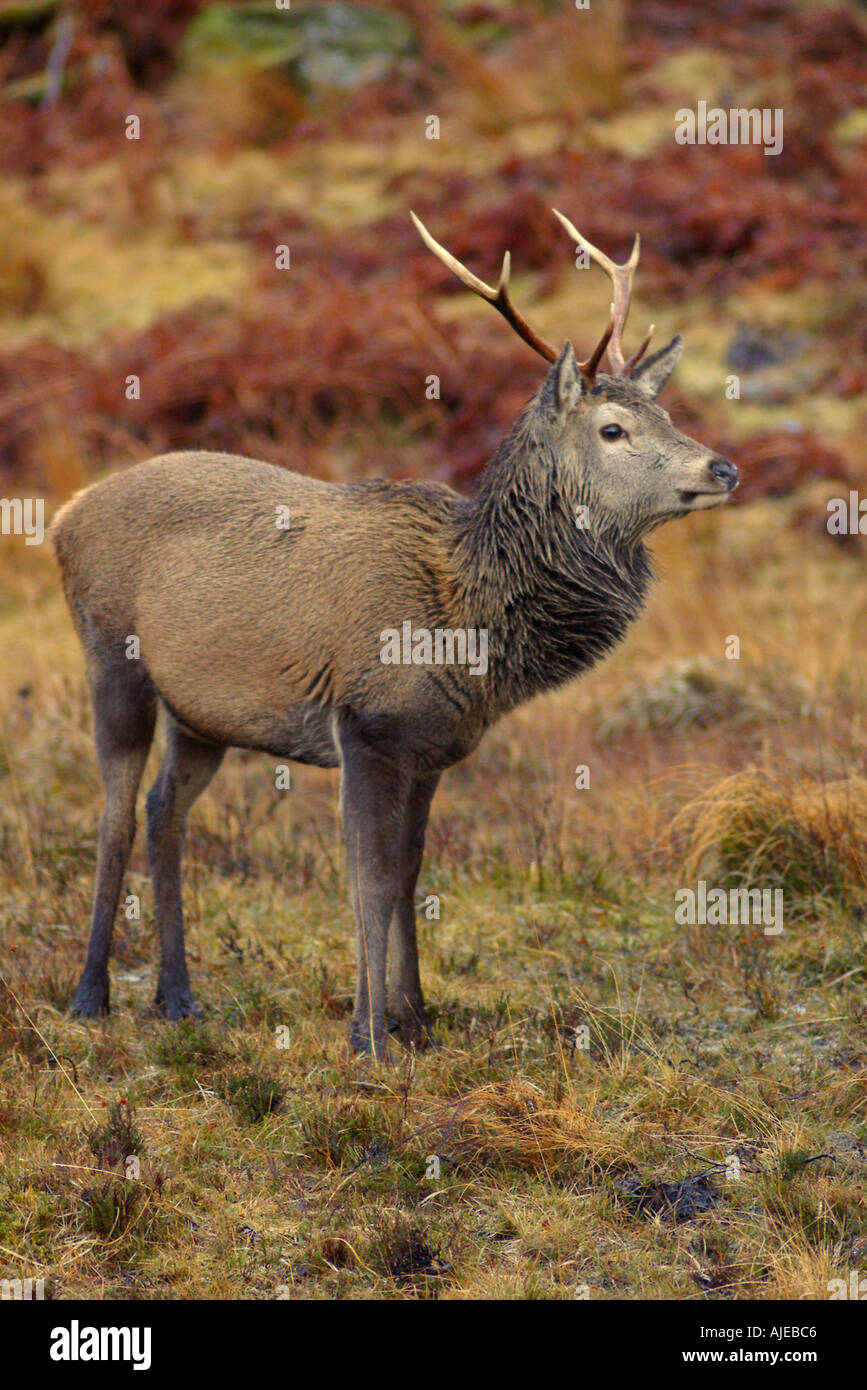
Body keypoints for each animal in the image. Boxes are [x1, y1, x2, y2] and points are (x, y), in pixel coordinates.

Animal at [51, 210, 738, 1058]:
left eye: (667, 415)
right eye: (612, 429)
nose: (722, 468)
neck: (470, 622)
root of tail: (63, 515)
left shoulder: (433, 746)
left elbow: (410, 874)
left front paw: (416, 1018)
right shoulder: (366, 725)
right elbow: (369, 880)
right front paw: (368, 1034)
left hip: (203, 712)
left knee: (162, 811)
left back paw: (176, 998)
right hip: (111, 655)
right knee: (111, 815)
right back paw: (90, 995)